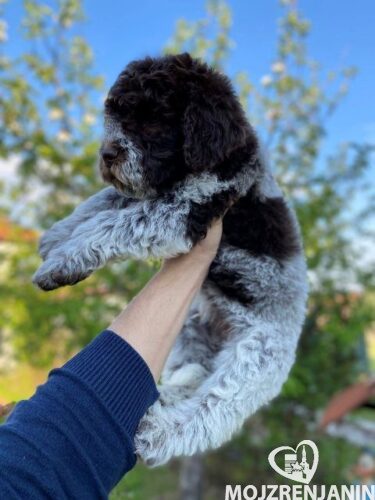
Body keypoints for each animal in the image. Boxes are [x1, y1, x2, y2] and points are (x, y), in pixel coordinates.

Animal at [32, 52, 308, 466]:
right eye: (117, 115)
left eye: (152, 120)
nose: (107, 155)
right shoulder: (153, 192)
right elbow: (102, 202)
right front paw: (57, 236)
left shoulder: (187, 207)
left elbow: (119, 223)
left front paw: (62, 261)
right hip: (192, 332)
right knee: (193, 377)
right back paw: (171, 393)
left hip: (254, 359)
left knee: (213, 409)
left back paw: (158, 434)